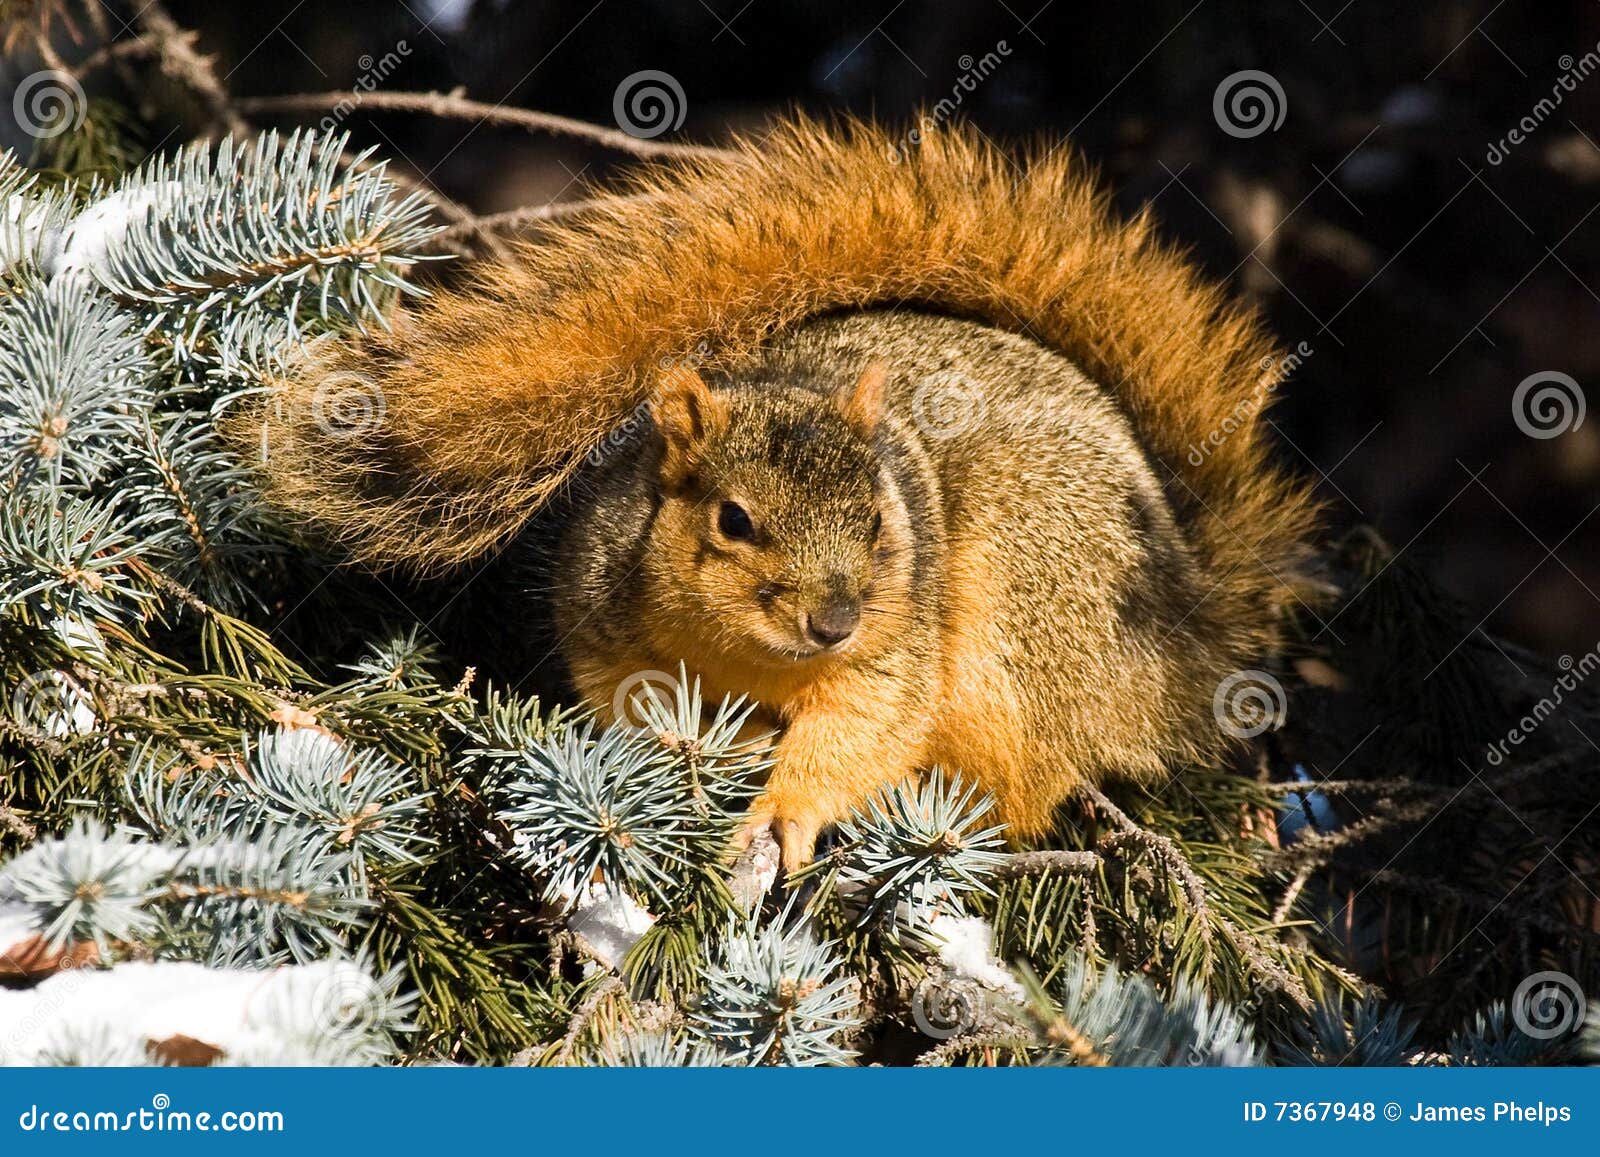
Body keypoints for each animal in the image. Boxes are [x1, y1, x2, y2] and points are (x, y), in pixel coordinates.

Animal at [244, 116, 1320, 871]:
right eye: (732, 519)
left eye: (881, 521)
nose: (832, 620)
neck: (753, 658)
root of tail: (1190, 626)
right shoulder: (604, 621)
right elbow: (640, 707)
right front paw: (727, 750)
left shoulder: (890, 657)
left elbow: (859, 729)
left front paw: (784, 809)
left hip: (1032, 612)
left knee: (1021, 784)